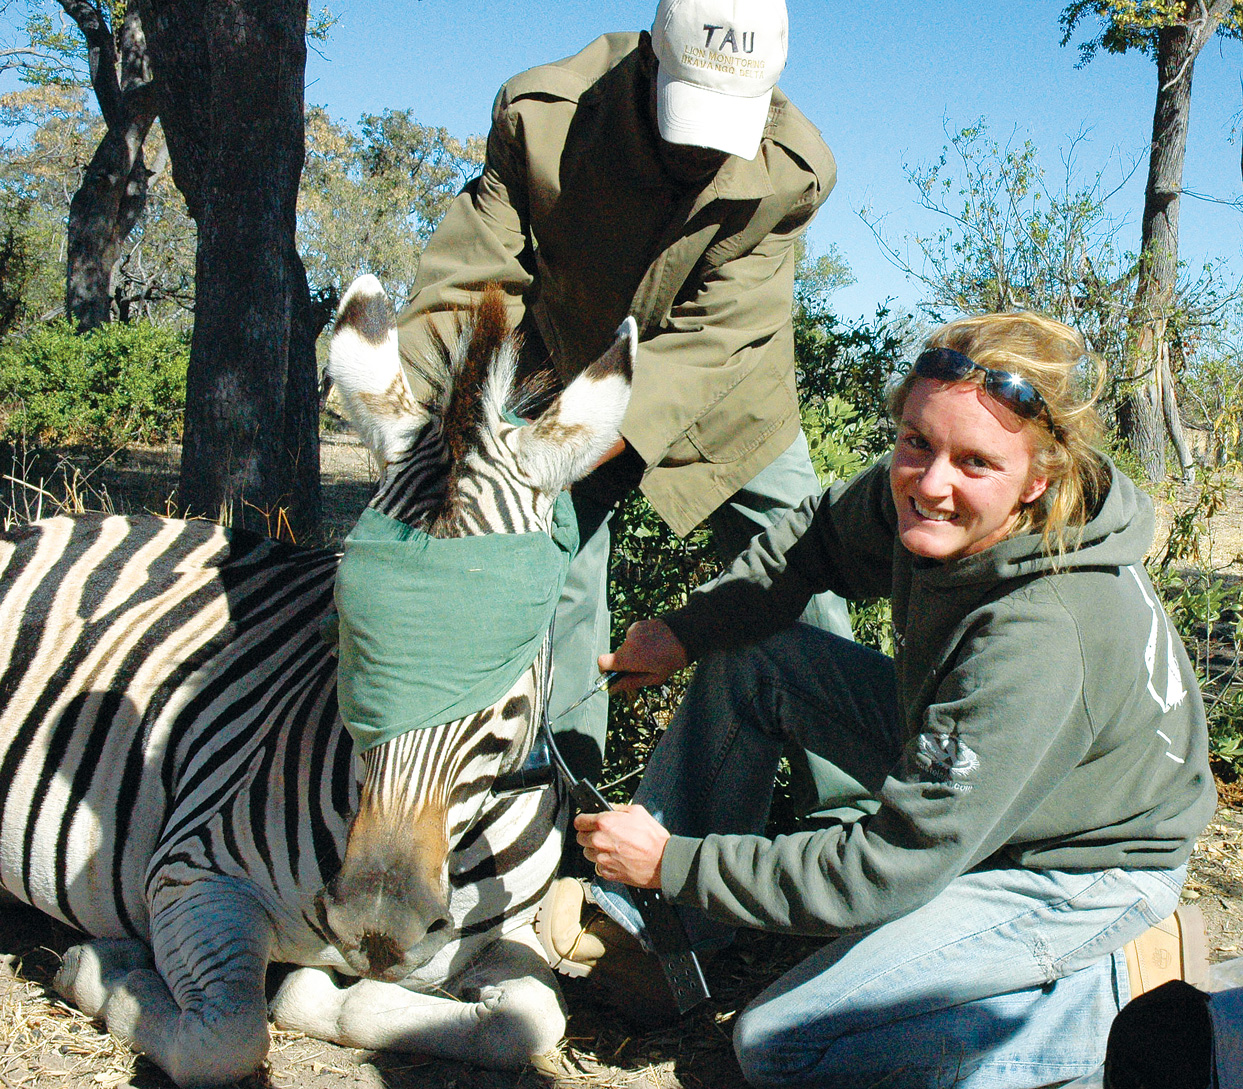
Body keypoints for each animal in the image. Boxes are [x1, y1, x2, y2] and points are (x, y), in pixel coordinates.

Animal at [0, 275, 635, 1087]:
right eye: (342, 622)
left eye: (512, 647)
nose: (376, 925)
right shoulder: (189, 874)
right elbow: (225, 1036)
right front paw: (101, 967)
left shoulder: (505, 934)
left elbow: (530, 1020)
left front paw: (318, 989)